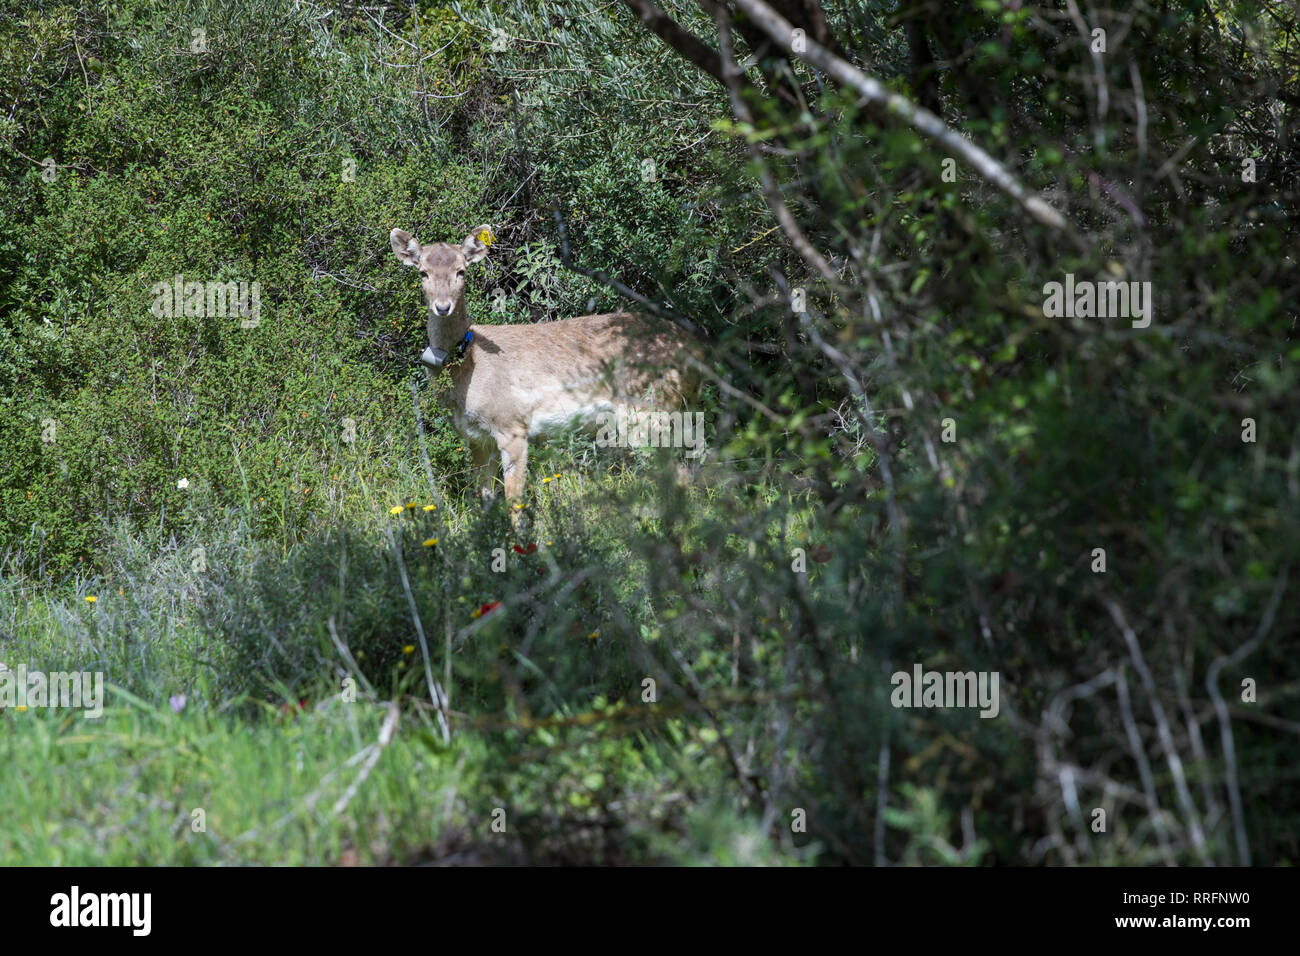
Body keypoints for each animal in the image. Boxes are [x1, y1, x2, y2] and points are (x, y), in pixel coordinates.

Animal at [390, 224, 701, 510]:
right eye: (423, 272)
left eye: (461, 271)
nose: (443, 306)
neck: (467, 371)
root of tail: (695, 349)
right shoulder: (476, 438)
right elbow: (485, 498)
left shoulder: (513, 426)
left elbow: (514, 500)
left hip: (648, 410)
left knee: (681, 475)